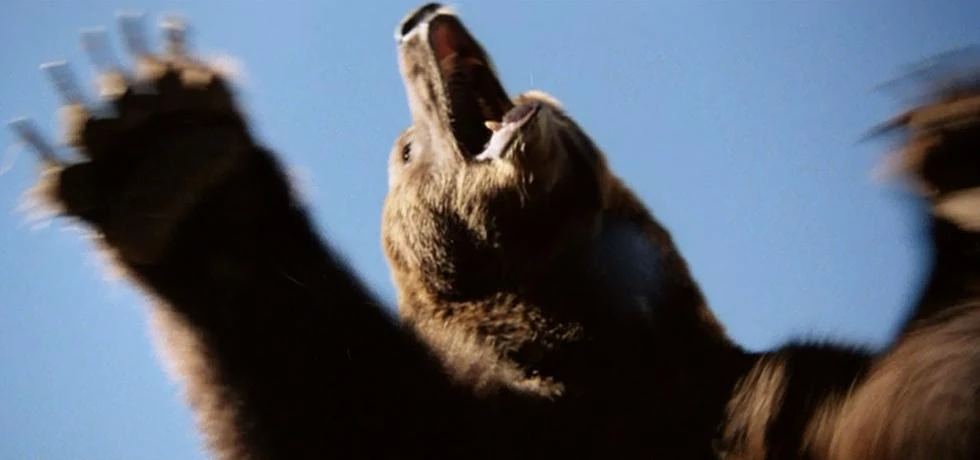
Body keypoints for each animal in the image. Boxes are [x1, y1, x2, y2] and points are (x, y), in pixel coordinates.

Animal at [9, 3, 980, 459]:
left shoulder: (780, 380)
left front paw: (952, 142)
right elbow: (348, 403)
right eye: (404, 150)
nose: (414, 19)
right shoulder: (537, 411)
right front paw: (164, 152)